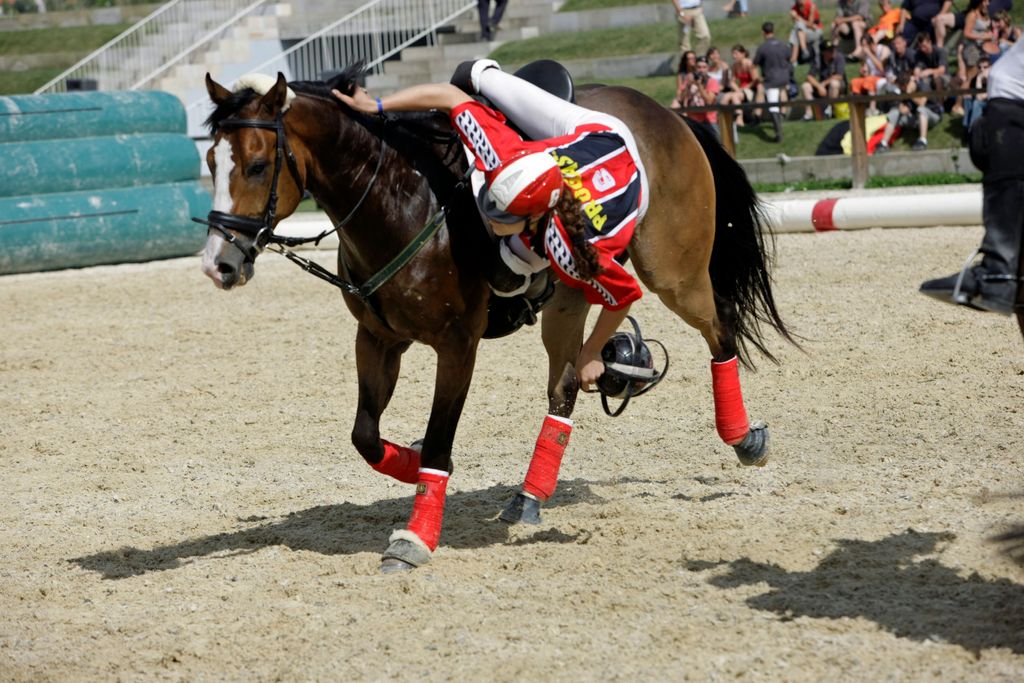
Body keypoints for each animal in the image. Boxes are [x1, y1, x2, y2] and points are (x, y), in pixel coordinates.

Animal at [198, 65, 796, 571]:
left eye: (256, 166)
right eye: (209, 165)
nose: (218, 263)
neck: (400, 195)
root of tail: (667, 113)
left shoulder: (458, 345)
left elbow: (439, 439)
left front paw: (414, 537)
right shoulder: (377, 337)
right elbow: (365, 436)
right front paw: (410, 467)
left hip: (672, 271)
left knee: (719, 327)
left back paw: (745, 438)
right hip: (567, 297)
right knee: (564, 388)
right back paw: (528, 496)